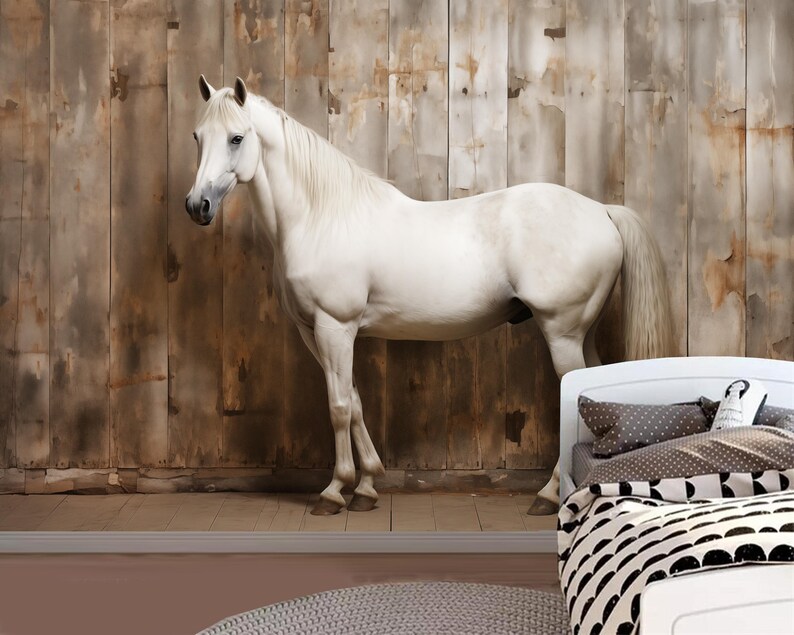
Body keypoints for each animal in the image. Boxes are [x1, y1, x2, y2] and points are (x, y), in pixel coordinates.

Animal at [186, 76, 672, 516]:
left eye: (236, 138)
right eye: (197, 136)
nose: (197, 206)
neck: (322, 216)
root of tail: (602, 211)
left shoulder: (334, 326)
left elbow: (339, 407)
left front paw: (334, 491)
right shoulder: (316, 332)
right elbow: (355, 403)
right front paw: (367, 487)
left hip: (562, 332)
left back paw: (549, 495)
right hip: (579, 332)